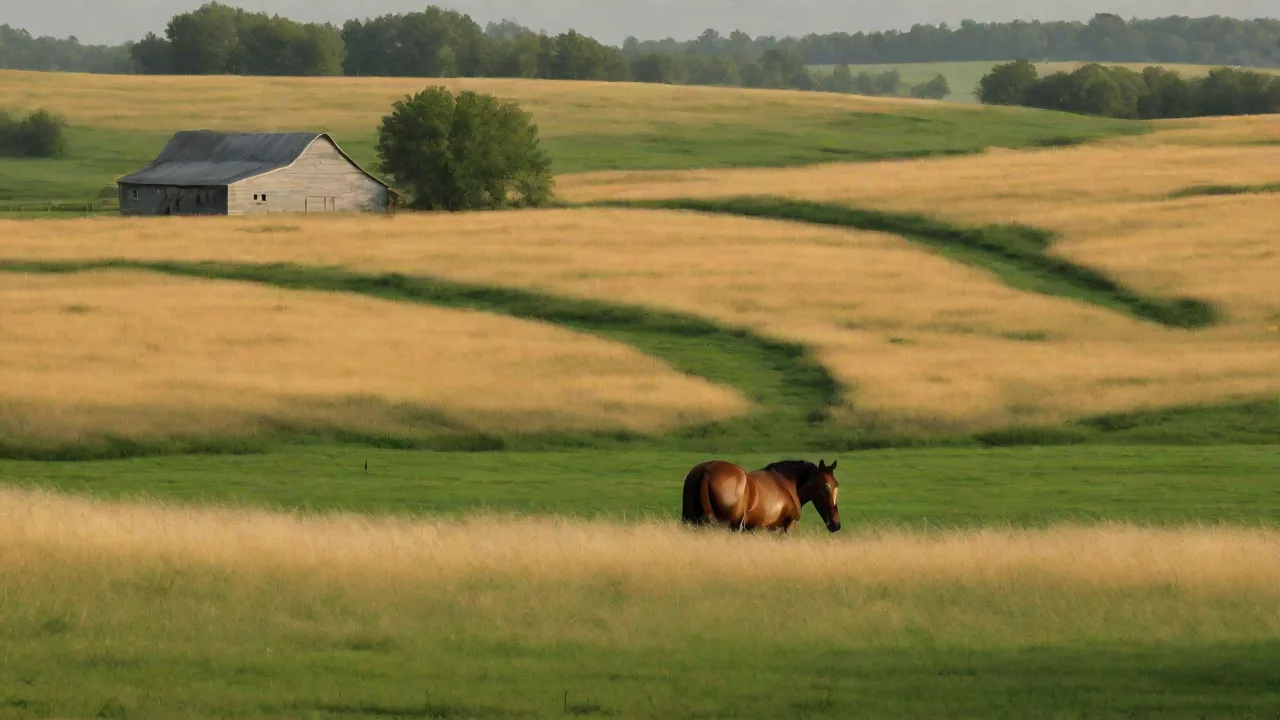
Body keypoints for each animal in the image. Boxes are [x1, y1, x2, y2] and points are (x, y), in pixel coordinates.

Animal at [681, 459, 842, 533]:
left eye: (836, 485)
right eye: (825, 487)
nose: (836, 524)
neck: (787, 484)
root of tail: (707, 470)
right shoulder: (786, 527)